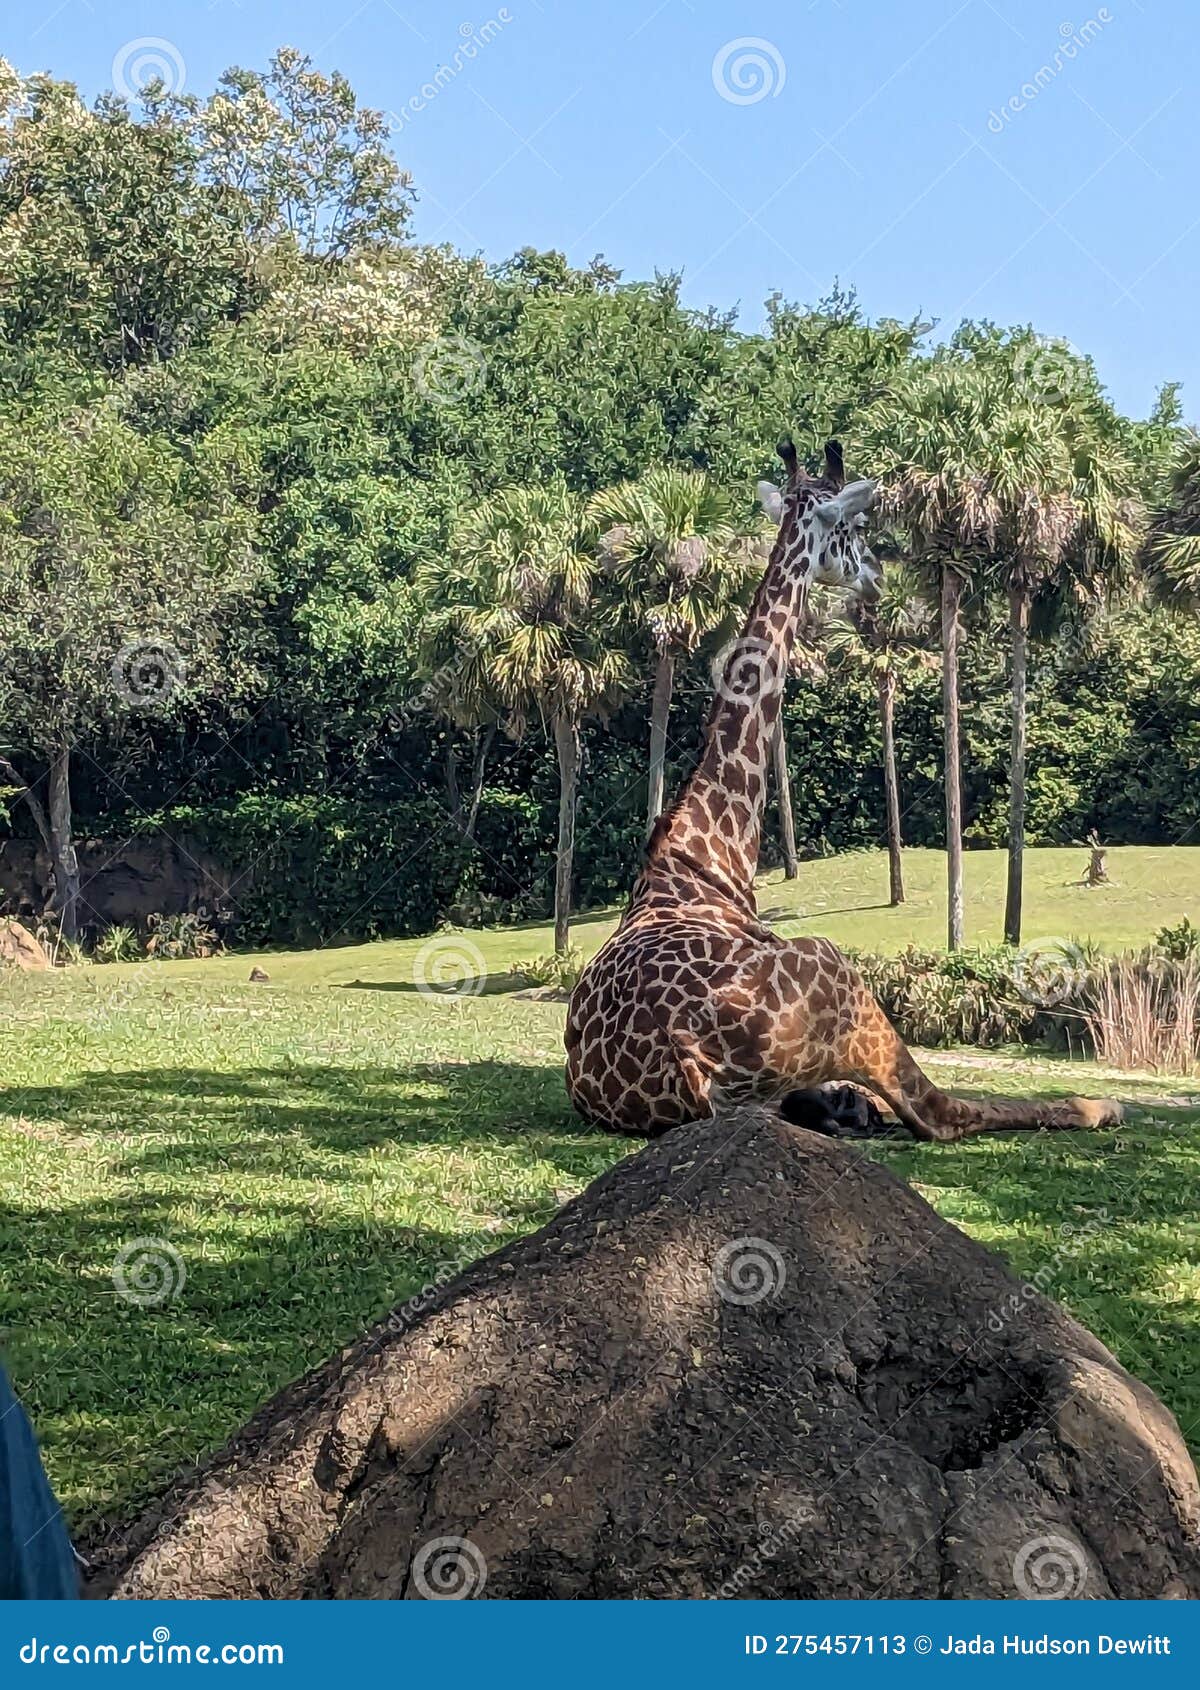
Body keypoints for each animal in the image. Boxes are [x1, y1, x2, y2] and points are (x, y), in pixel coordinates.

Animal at [565, 441, 1122, 1143]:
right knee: (939, 1113)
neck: (710, 849)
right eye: (855, 527)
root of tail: (685, 1063)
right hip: (842, 977)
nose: (876, 577)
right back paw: (1097, 1104)